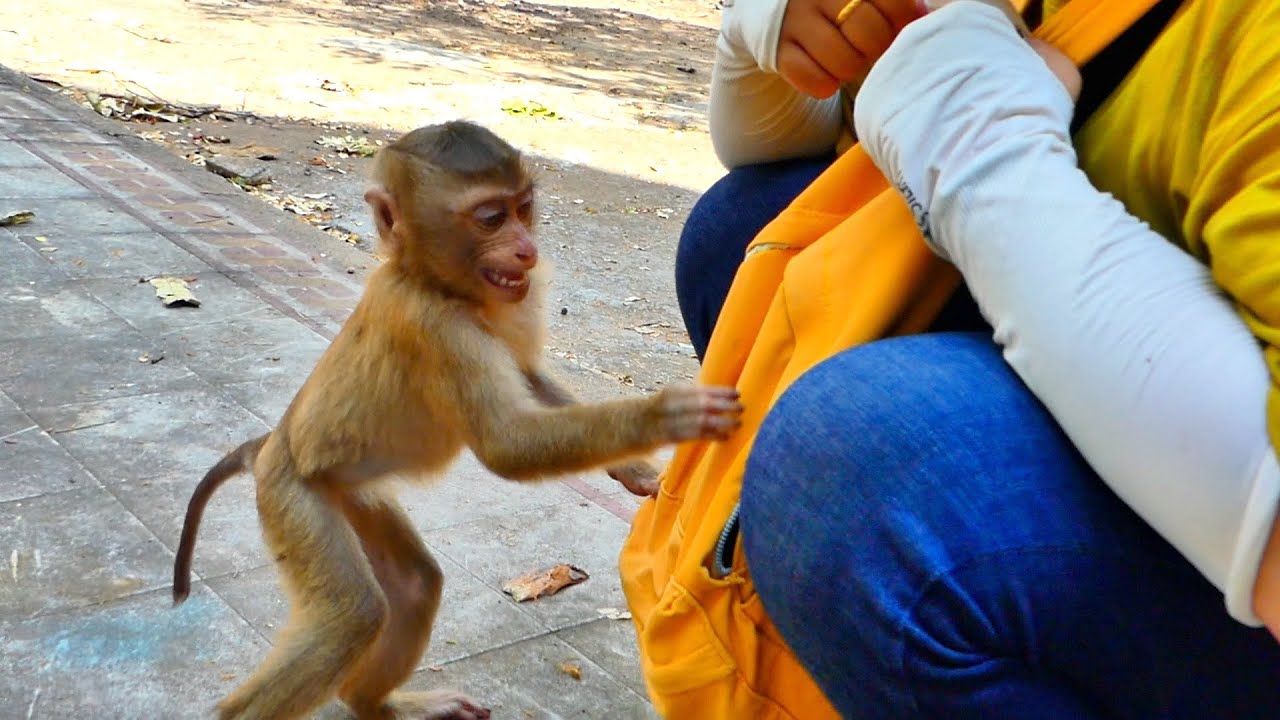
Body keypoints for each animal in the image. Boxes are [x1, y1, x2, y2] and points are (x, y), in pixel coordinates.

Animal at [170, 119, 743, 720]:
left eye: (523, 208)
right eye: (491, 218)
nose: (527, 249)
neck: (431, 282)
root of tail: (273, 442)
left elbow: (528, 378)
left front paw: (633, 470)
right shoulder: (438, 329)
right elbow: (506, 446)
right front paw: (670, 414)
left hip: (348, 489)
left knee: (414, 584)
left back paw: (378, 704)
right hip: (292, 495)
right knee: (353, 615)